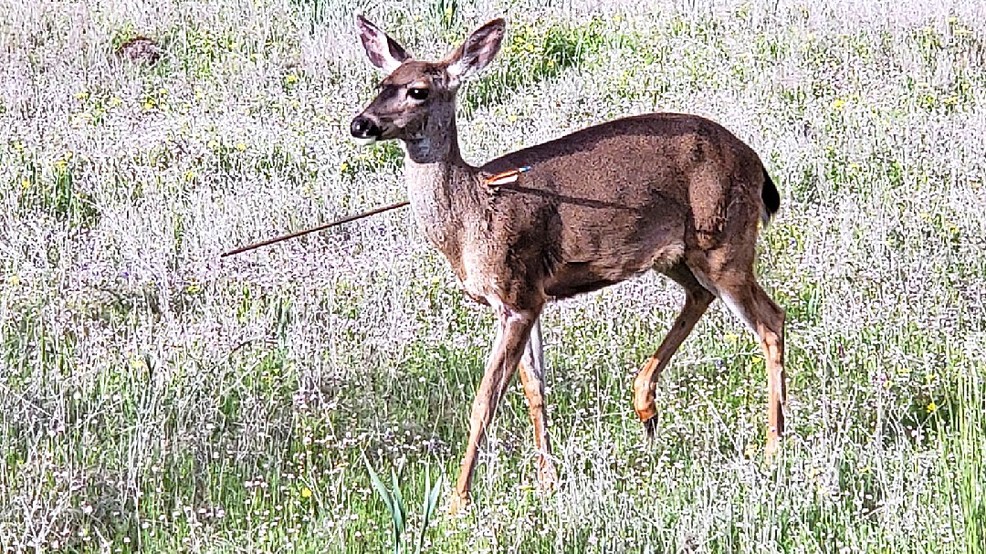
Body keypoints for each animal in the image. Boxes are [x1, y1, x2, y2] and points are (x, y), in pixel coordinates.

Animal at [350, 15, 787, 511]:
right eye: (381, 84)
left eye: (418, 90)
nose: (360, 123)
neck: (471, 212)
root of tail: (755, 162)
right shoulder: (527, 296)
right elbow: (534, 389)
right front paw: (547, 480)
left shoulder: (516, 292)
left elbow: (485, 399)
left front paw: (458, 500)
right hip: (678, 254)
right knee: (702, 297)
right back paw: (646, 406)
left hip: (725, 240)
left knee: (771, 320)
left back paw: (773, 446)